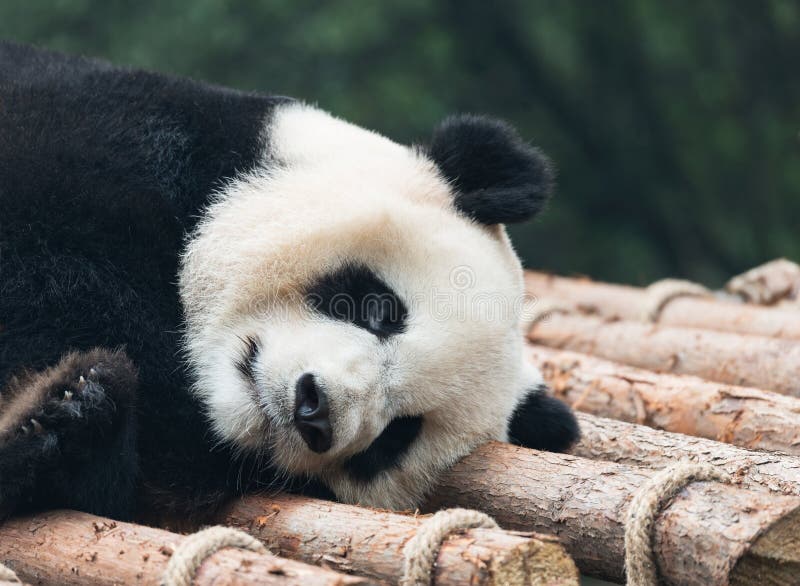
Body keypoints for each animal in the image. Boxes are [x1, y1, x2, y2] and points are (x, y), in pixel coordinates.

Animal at [0, 41, 579, 522]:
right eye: (380, 310)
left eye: (395, 437)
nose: (313, 410)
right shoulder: (97, 133)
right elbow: (51, 277)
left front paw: (68, 423)